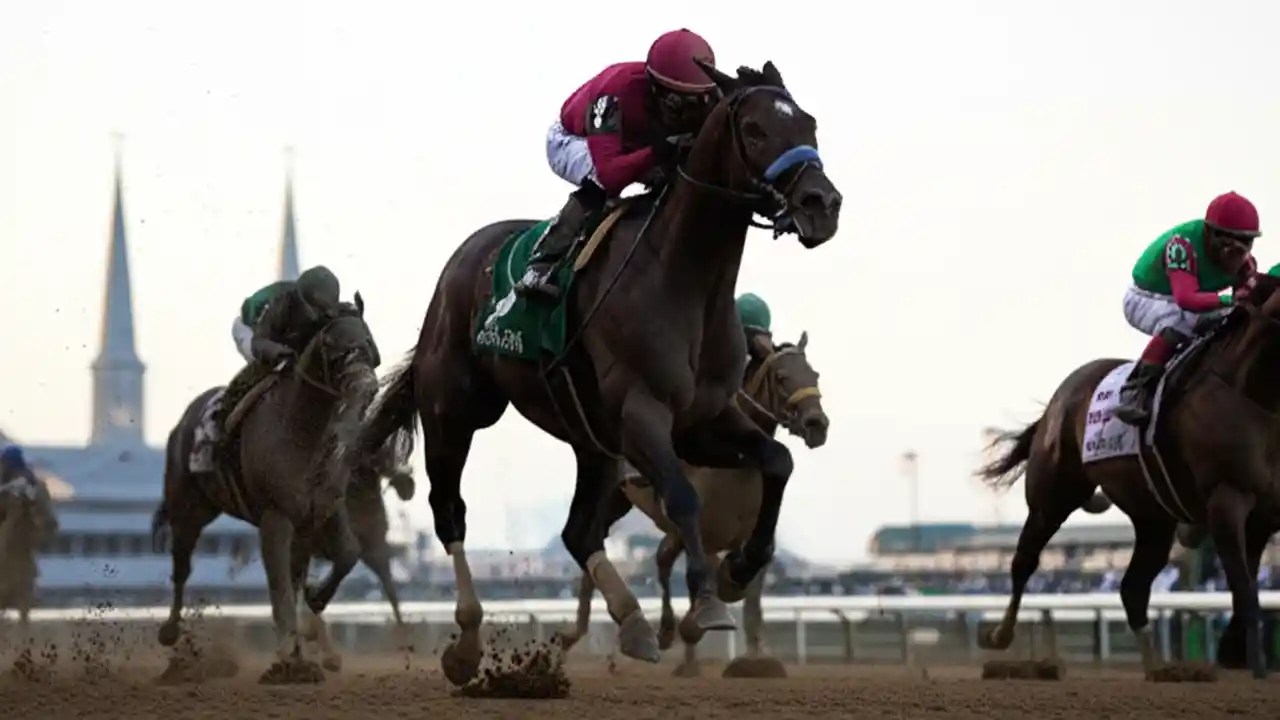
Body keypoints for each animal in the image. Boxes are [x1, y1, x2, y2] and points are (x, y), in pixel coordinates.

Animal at [152, 300, 381, 683]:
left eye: (367, 339)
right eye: (332, 343)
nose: (365, 384)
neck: (303, 430)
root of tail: (183, 421)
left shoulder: (323, 510)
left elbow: (347, 554)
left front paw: (311, 618)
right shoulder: (276, 517)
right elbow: (279, 584)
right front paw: (288, 653)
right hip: (187, 509)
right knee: (181, 567)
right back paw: (170, 633)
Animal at [560, 329, 828, 677]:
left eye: (814, 375)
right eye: (782, 378)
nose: (817, 424)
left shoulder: (750, 539)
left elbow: (752, 593)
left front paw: (758, 658)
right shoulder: (703, 536)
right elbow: (698, 583)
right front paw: (691, 641)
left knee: (654, 557)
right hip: (615, 500)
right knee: (598, 545)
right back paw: (584, 632)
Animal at [976, 273, 1280, 680]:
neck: (1257, 395)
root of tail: (1059, 399)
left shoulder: (1265, 515)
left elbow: (1246, 585)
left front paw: (1234, 654)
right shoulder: (1226, 500)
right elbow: (1244, 589)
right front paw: (1252, 666)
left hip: (1153, 518)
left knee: (1132, 589)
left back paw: (1158, 669)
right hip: (1053, 496)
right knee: (1024, 561)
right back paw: (1000, 636)